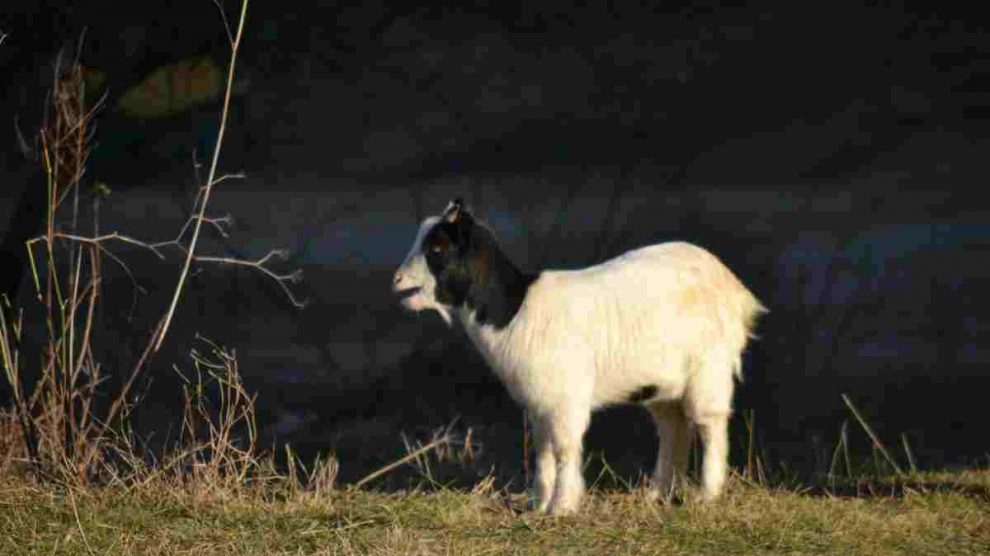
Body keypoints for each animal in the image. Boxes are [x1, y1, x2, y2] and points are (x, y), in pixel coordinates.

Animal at [392, 198, 765, 515]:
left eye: (438, 247)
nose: (396, 280)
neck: (514, 311)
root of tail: (735, 289)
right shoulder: (539, 403)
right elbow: (543, 451)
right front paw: (540, 504)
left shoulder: (565, 399)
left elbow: (564, 449)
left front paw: (562, 507)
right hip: (663, 384)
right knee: (673, 427)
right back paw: (658, 493)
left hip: (709, 368)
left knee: (709, 423)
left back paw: (707, 494)